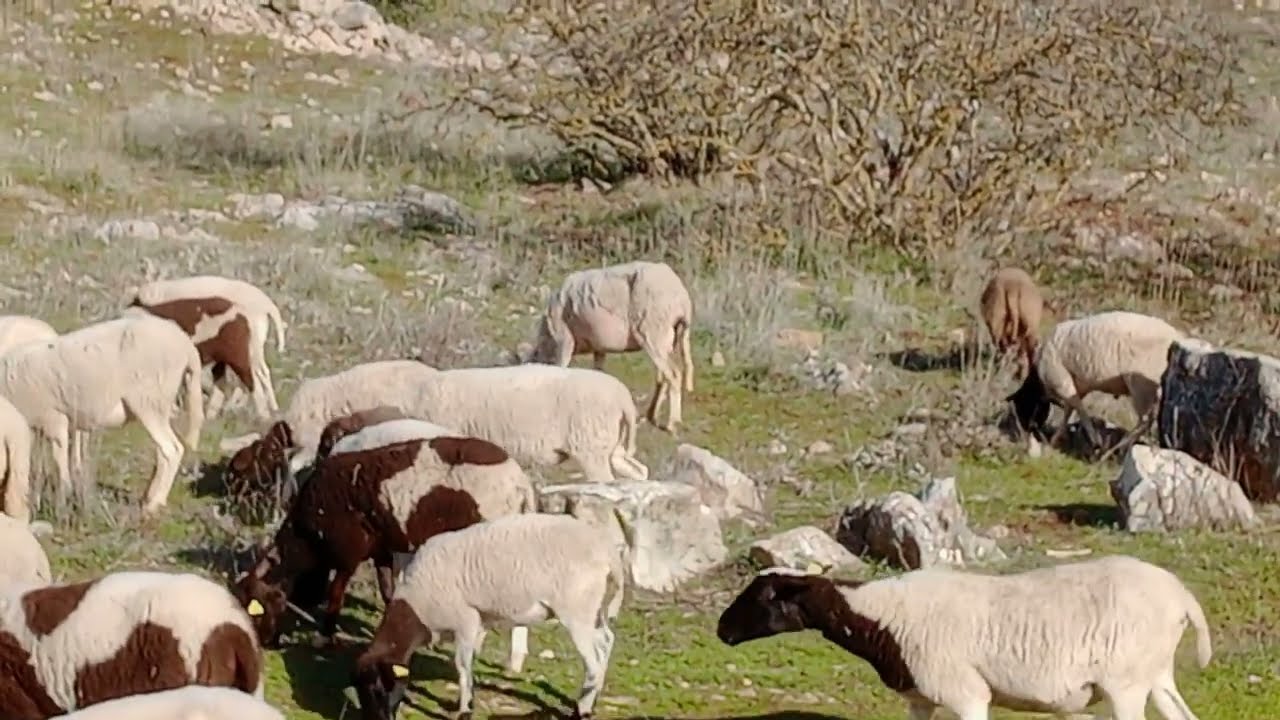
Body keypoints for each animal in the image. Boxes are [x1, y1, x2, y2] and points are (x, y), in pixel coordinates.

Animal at [233, 433, 537, 664]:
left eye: (253, 609)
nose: (264, 645)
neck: (306, 537)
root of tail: (520, 483)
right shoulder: (381, 549)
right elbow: (388, 590)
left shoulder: (349, 550)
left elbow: (336, 593)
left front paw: (324, 636)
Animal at [351, 512, 628, 720]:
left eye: (376, 688)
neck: (417, 607)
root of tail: (607, 553)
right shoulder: (478, 621)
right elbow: (469, 662)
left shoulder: (465, 619)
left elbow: (462, 666)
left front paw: (465, 710)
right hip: (595, 608)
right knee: (606, 641)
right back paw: (591, 702)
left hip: (577, 610)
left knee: (593, 662)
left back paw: (582, 710)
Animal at [524, 260, 694, 432]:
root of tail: (682, 299)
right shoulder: (599, 347)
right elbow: (598, 370)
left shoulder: (564, 340)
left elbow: (561, 368)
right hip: (669, 337)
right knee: (663, 377)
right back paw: (651, 416)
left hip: (652, 331)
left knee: (674, 374)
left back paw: (672, 423)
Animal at [716, 556, 1211, 720]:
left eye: (763, 596)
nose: (722, 630)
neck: (881, 615)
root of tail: (1182, 597)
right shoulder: (920, 698)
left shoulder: (966, 693)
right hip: (1155, 674)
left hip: (1125, 683)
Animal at [1006, 310, 1186, 456]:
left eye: (1022, 406)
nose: (1025, 433)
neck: (1039, 380)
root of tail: (1177, 337)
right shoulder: (1076, 385)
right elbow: (1070, 410)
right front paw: (1057, 438)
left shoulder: (1062, 381)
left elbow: (1077, 408)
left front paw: (1094, 441)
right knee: (1150, 419)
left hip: (1142, 386)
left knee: (1145, 420)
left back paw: (1119, 447)